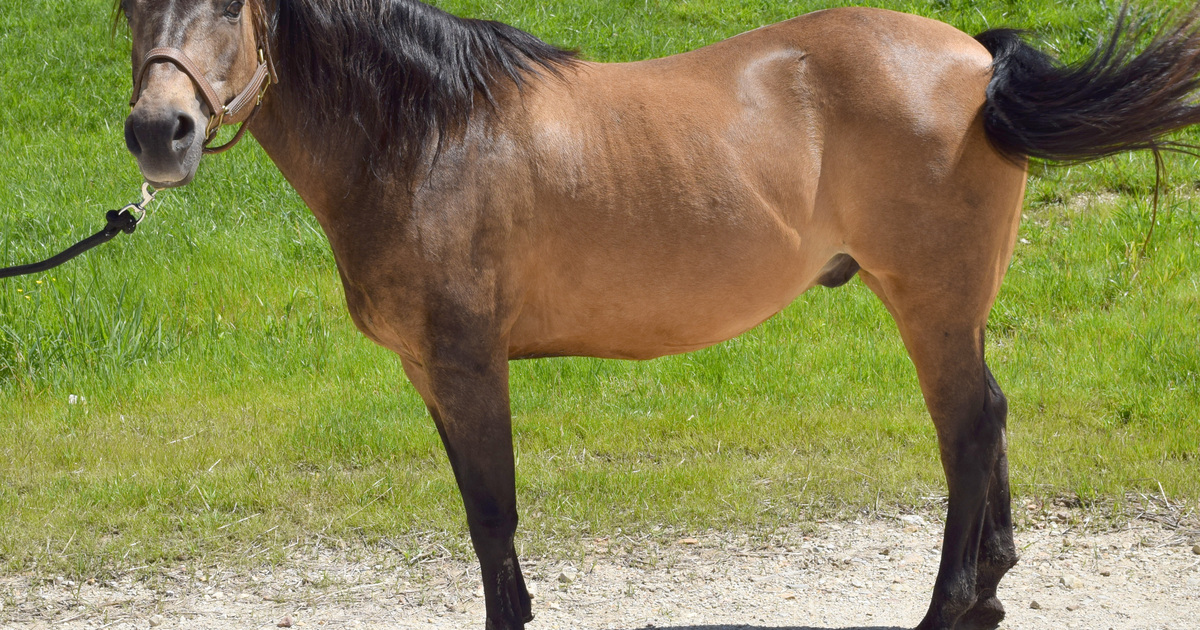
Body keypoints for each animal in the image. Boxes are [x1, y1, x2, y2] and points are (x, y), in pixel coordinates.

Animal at [117, 0, 1200, 628]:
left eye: (231, 5)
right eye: (133, 4)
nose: (158, 132)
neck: (431, 136)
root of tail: (975, 57)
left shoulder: (467, 362)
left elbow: (494, 518)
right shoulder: (432, 370)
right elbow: (479, 514)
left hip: (929, 300)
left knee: (968, 430)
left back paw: (949, 608)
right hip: (954, 306)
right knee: (992, 416)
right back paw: (993, 591)